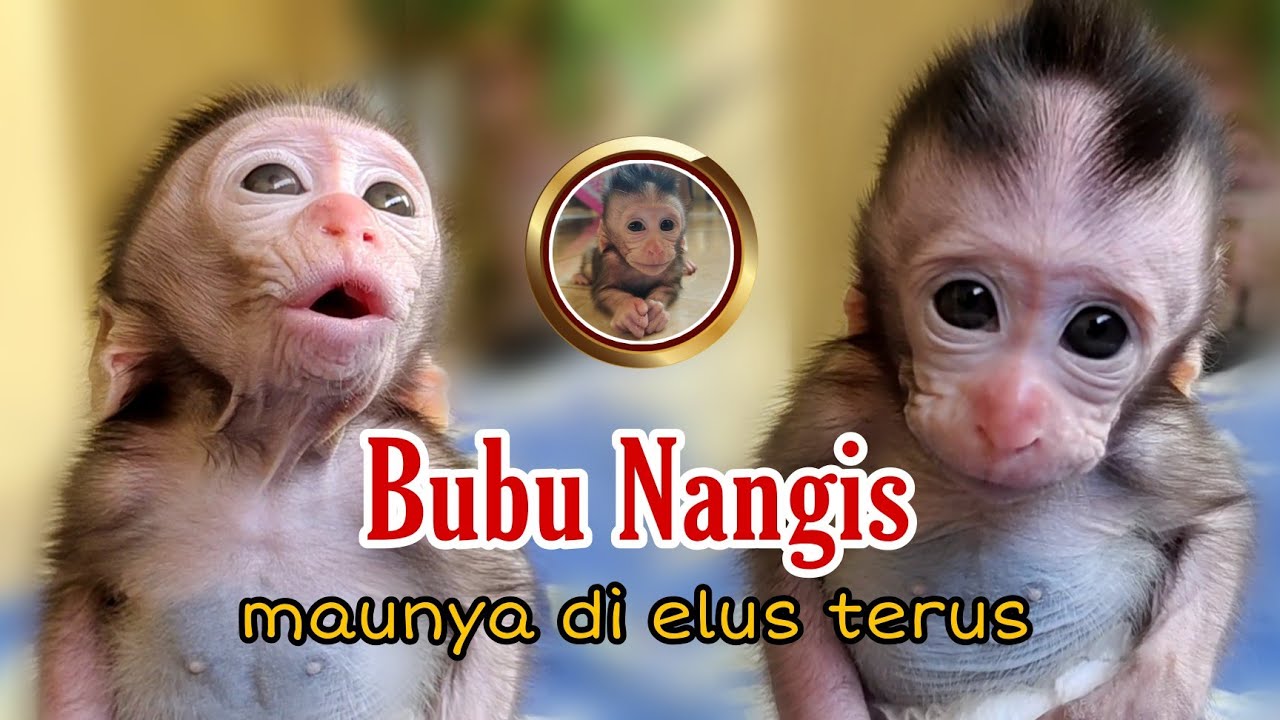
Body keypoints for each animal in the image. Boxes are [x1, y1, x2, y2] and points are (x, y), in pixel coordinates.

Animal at [39, 88, 534, 720]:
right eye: (273, 182)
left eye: (389, 201)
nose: (353, 222)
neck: (271, 469)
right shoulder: (112, 485)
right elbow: (76, 607)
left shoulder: (431, 481)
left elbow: (497, 603)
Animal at [568, 163, 696, 339]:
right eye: (635, 226)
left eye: (667, 225)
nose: (656, 249)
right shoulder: (609, 261)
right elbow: (605, 291)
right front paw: (627, 310)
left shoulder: (674, 262)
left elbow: (668, 287)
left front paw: (656, 311)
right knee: (588, 265)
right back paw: (580, 276)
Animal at [750, 2, 1255, 719]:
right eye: (967, 304)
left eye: (1098, 332)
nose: (1008, 411)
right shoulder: (834, 407)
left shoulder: (1157, 443)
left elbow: (1219, 520)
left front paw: (1146, 694)